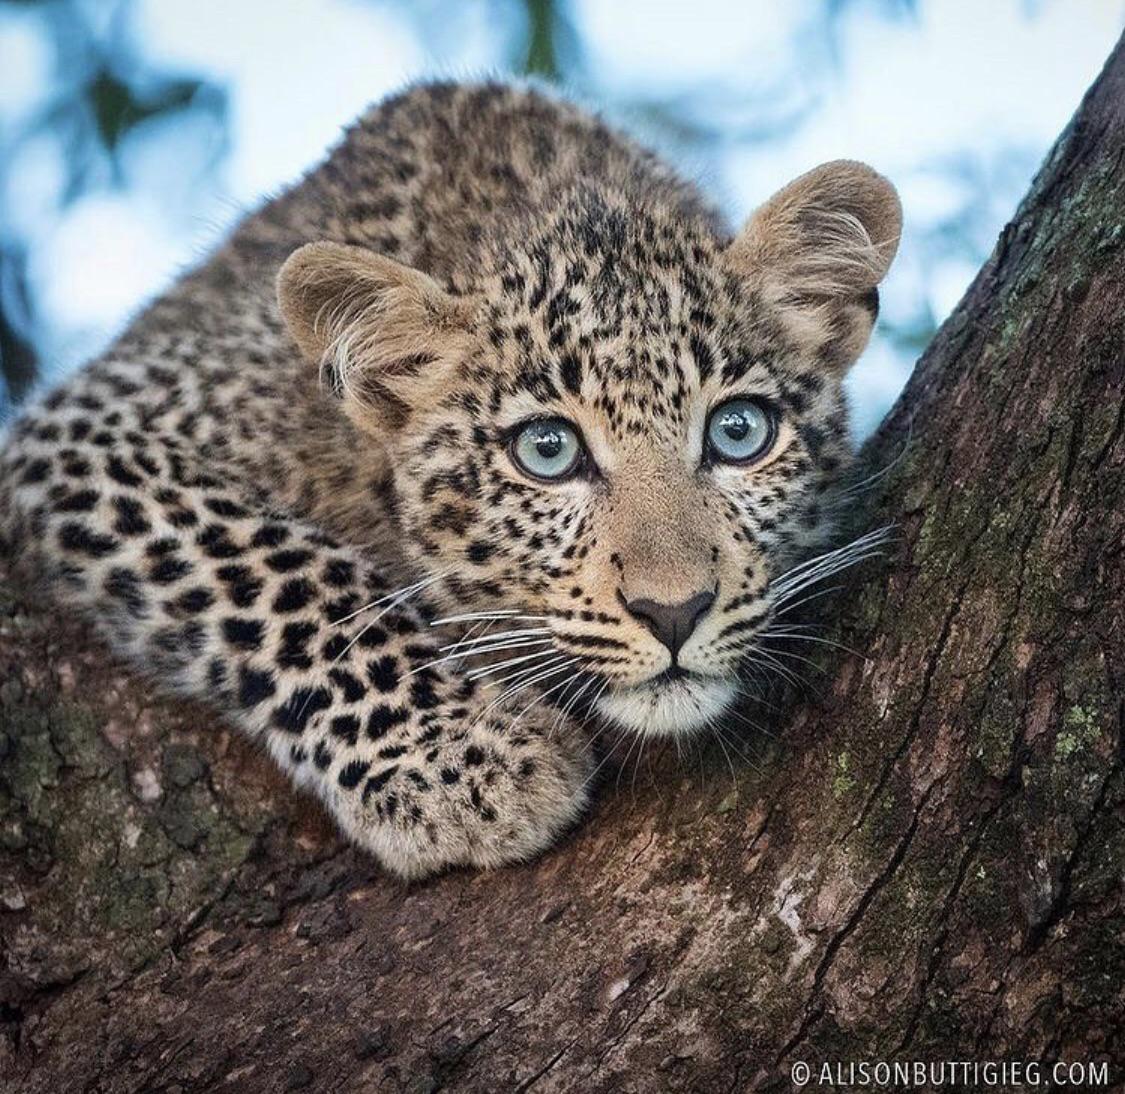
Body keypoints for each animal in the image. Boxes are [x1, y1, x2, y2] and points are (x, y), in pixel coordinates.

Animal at [0, 80, 900, 879]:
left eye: (737, 432)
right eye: (547, 450)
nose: (672, 612)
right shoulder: (99, 422)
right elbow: (287, 578)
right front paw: (458, 760)